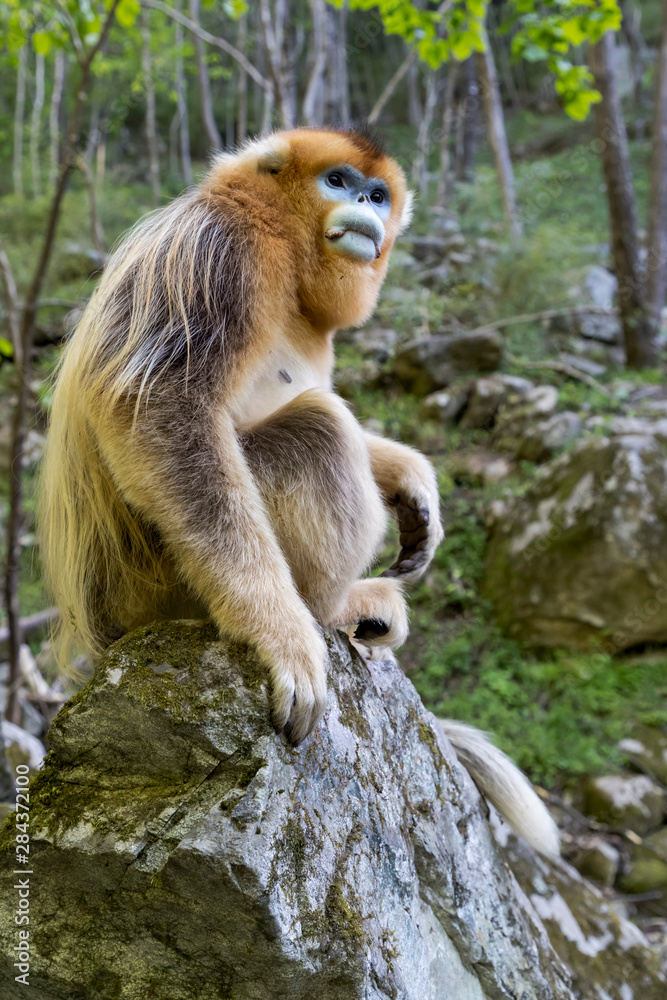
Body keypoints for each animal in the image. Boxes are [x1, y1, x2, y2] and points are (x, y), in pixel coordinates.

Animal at [39, 126, 558, 856]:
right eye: (337, 182)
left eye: (377, 194)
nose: (365, 209)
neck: (284, 251)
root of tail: (103, 625)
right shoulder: (221, 249)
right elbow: (162, 410)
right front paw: (280, 634)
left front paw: (411, 480)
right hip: (160, 585)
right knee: (320, 428)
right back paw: (335, 609)